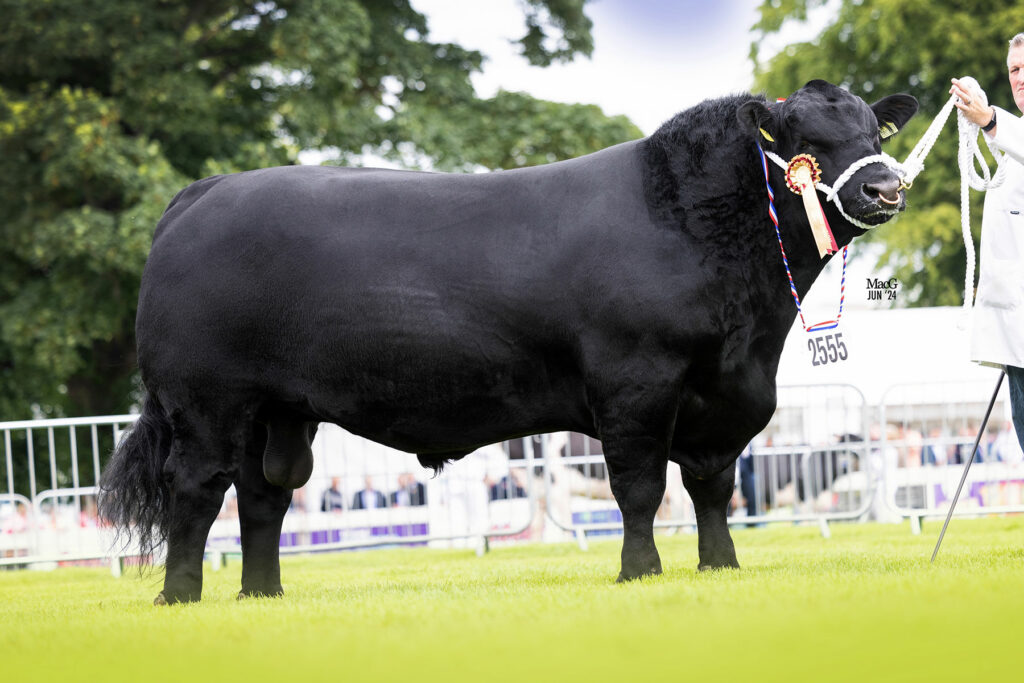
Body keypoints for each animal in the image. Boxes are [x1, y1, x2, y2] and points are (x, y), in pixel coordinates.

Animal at [99, 80, 918, 604]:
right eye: (807, 140)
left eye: (875, 134)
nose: (886, 188)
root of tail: (205, 191)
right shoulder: (635, 383)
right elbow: (641, 488)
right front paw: (640, 573)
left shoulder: (725, 394)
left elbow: (712, 488)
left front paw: (721, 568)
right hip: (206, 404)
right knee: (197, 489)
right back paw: (180, 597)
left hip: (279, 411)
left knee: (265, 494)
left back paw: (263, 594)